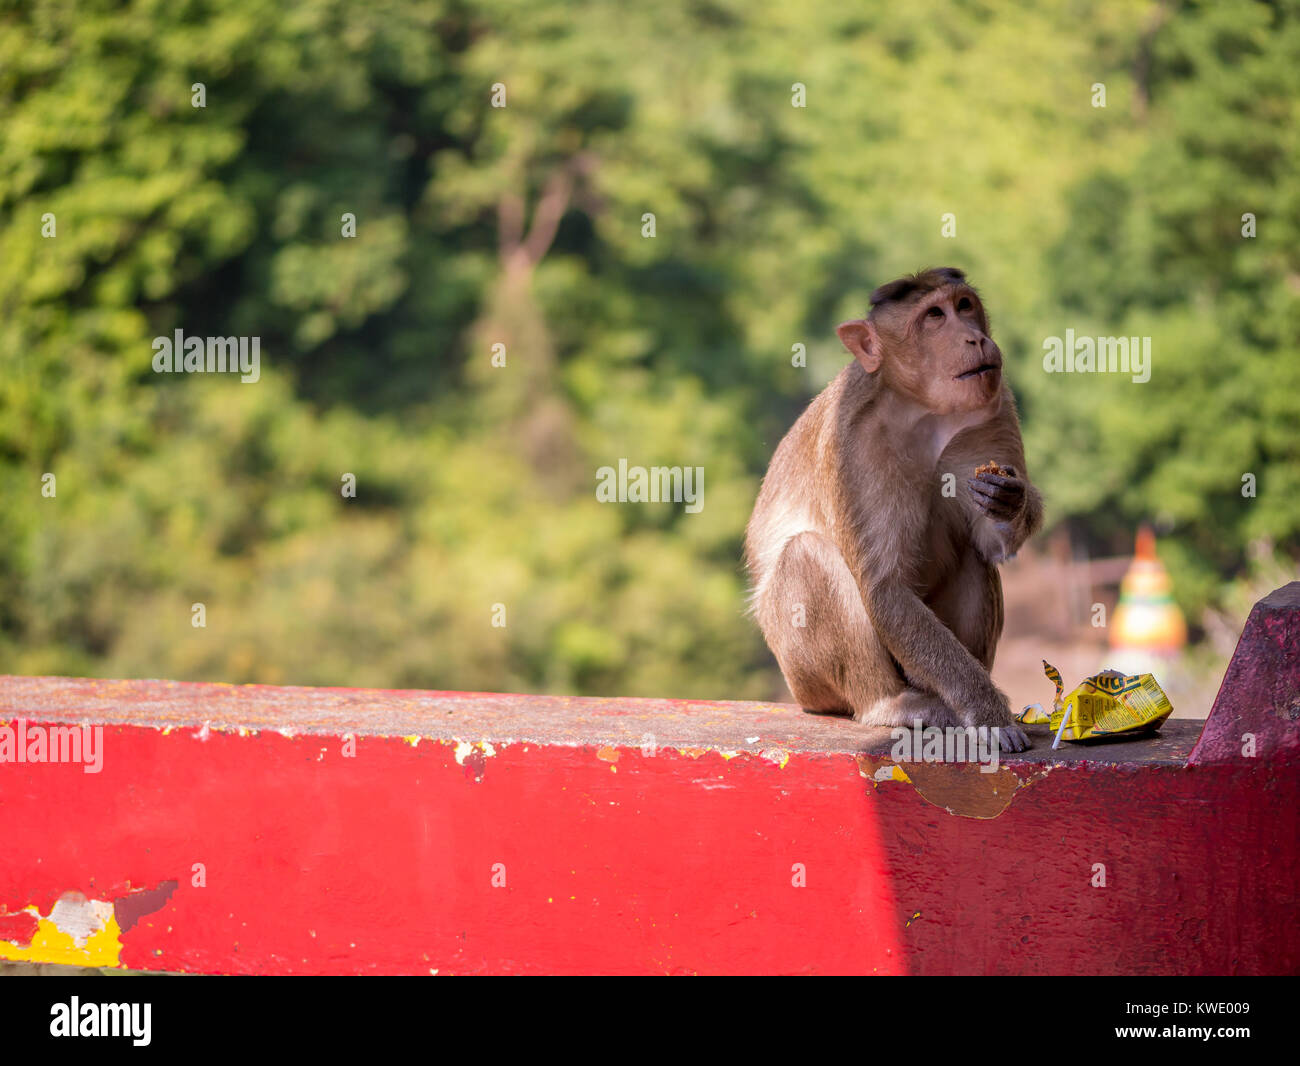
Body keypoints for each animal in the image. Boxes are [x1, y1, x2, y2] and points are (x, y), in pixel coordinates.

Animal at [745, 267, 1042, 752]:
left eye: (964, 306)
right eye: (933, 316)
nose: (976, 338)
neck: (923, 410)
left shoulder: (994, 408)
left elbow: (992, 545)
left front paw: (1008, 499)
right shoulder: (855, 447)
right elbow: (884, 587)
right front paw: (986, 712)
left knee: (972, 556)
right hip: (804, 679)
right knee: (806, 555)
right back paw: (891, 705)